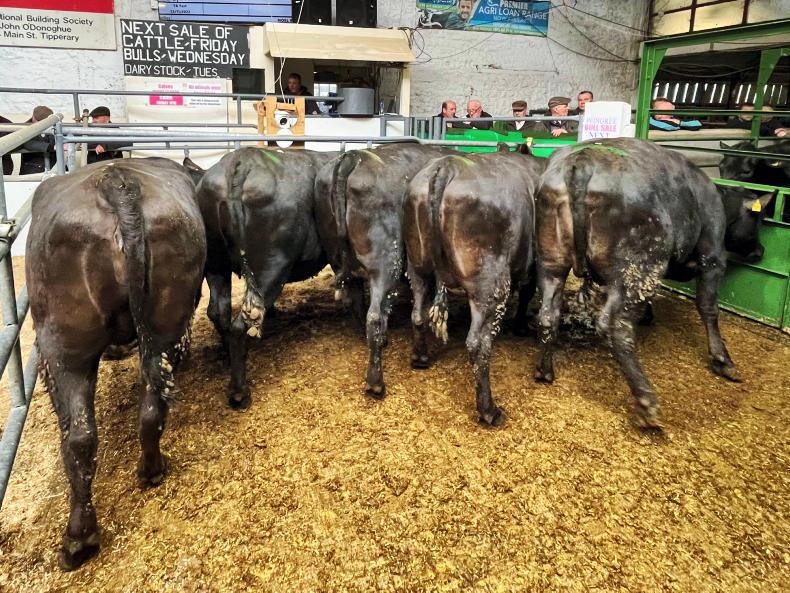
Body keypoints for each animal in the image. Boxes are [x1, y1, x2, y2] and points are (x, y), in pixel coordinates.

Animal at [26, 158, 206, 570]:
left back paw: (78, 537)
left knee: (78, 436)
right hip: (164, 319)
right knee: (149, 408)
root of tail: (116, 182)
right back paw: (150, 471)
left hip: (64, 345)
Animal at [191, 147, 337, 409]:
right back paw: (240, 393)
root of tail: (239, 162)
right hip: (271, 265)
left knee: (218, 311)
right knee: (242, 322)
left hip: (216, 263)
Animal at [314, 143, 452, 400]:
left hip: (339, 259)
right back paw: (376, 382)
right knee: (374, 316)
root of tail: (354, 157)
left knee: (359, 305)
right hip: (386, 262)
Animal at [403, 150, 543, 425]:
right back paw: (489, 411)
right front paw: (521, 326)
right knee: (479, 344)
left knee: (417, 314)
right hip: (490, 284)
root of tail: (446, 166)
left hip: (418, 267)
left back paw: (421, 358)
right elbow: (527, 293)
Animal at [534, 138, 774, 429]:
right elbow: (708, 307)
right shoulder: (713, 257)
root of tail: (582, 160)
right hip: (640, 269)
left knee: (549, 315)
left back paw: (545, 370)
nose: (761, 251)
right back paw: (647, 403)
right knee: (616, 327)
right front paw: (722, 359)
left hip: (552, 263)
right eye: (758, 219)